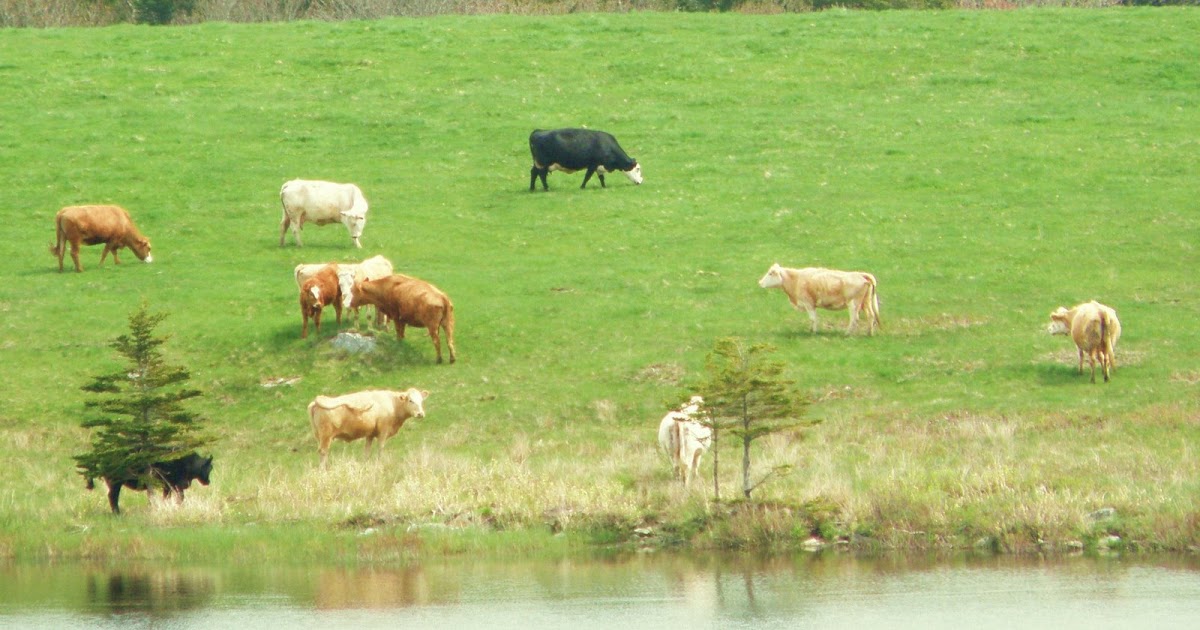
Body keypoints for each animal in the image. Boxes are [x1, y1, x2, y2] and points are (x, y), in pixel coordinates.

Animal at [84, 452, 213, 515]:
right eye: (209, 467)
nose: (208, 481)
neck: (189, 462)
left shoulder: (168, 487)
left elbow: (166, 497)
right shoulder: (176, 484)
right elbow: (180, 497)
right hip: (116, 483)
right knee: (113, 496)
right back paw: (117, 513)